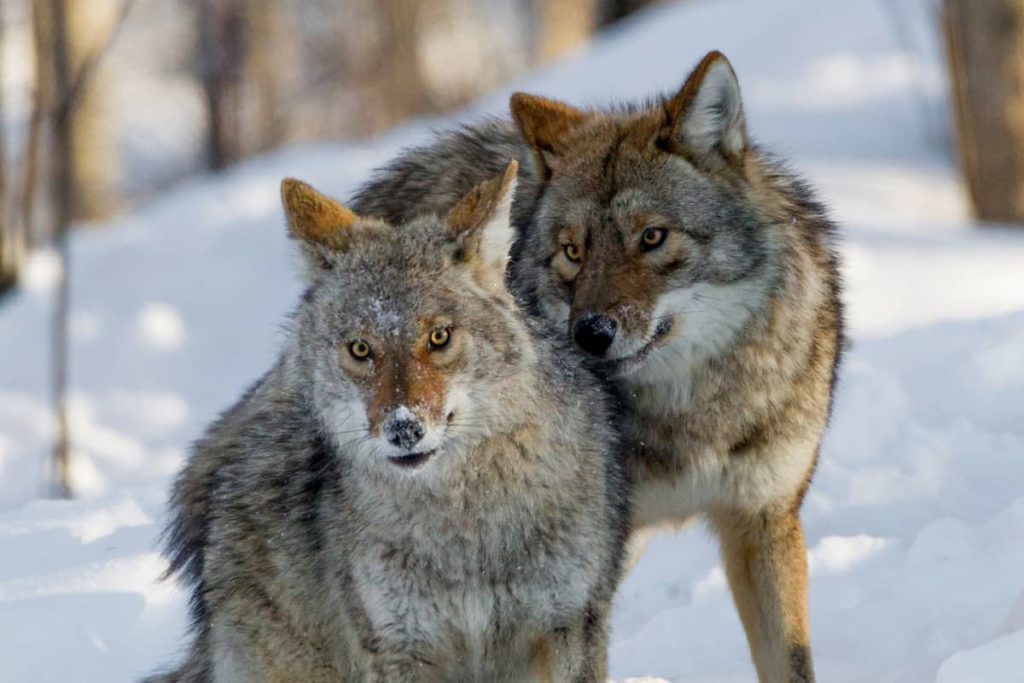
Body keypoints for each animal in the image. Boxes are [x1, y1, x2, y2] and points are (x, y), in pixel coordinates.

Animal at [144, 161, 631, 682]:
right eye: (361, 348)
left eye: (439, 337)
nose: (403, 429)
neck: (463, 529)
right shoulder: (398, 649)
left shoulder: (567, 625)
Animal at [350, 51, 844, 682]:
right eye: (573, 251)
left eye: (652, 237)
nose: (590, 333)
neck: (689, 414)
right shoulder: (585, 573)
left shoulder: (765, 521)